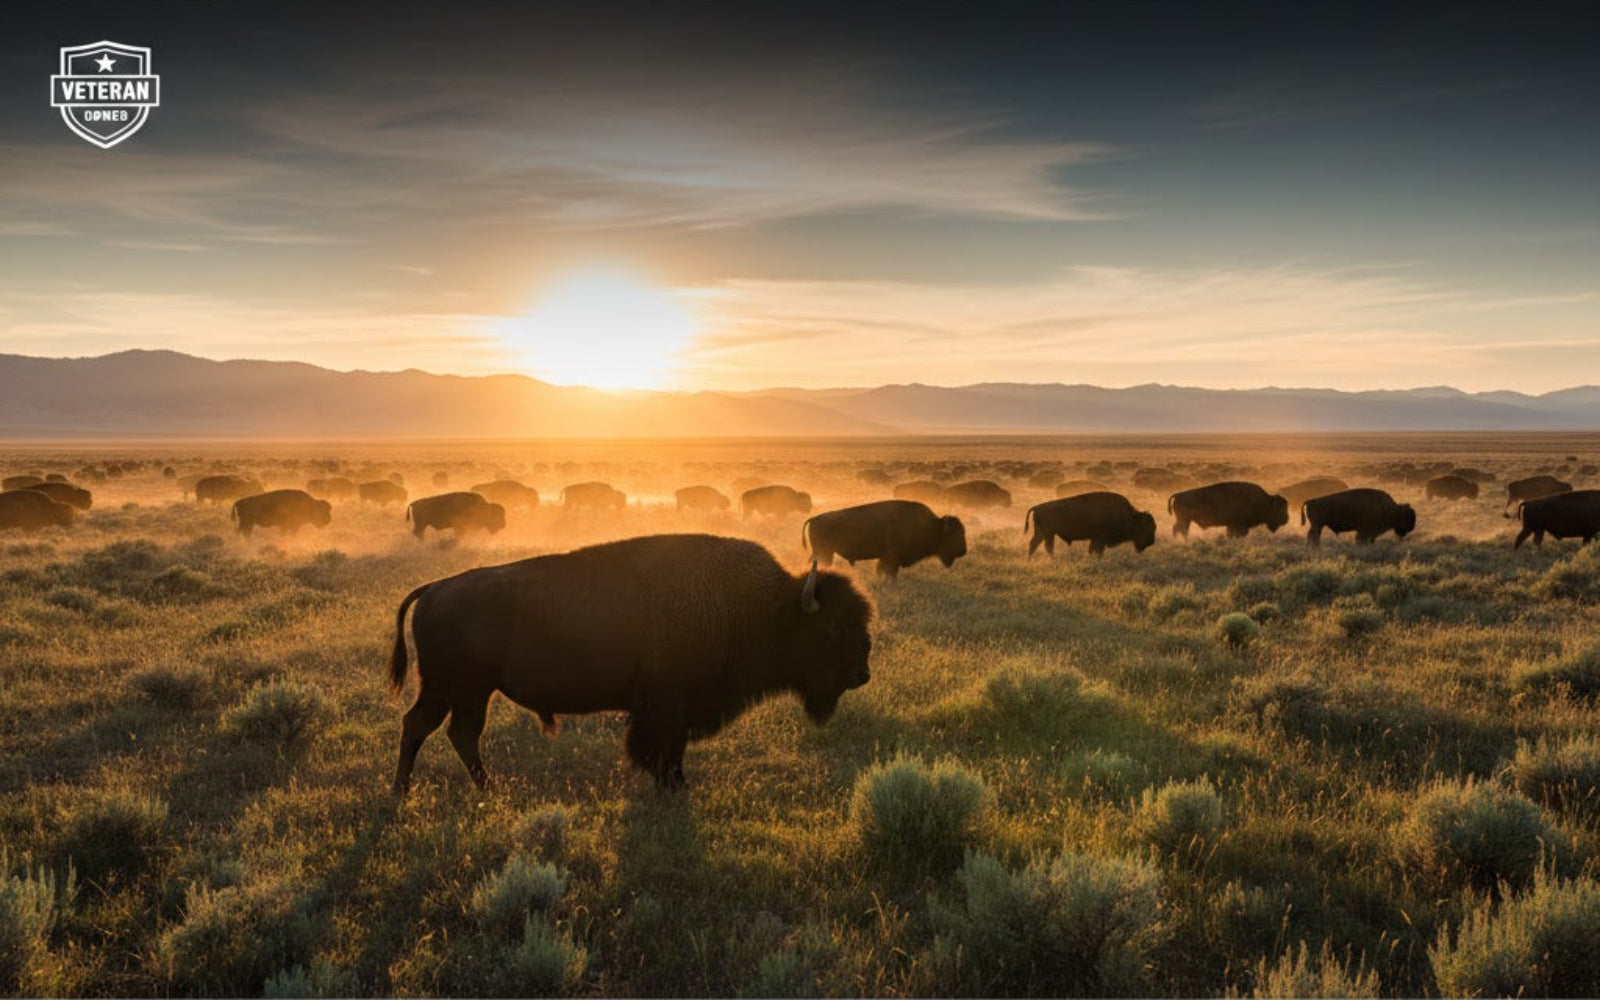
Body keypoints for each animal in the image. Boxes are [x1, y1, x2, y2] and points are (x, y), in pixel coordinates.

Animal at [388, 534, 873, 793]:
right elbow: (660, 747)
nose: (861, 674)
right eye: (832, 628)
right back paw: (416, 791)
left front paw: (677, 783)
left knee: (449, 731)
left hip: (463, 691)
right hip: (455, 688)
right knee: (431, 729)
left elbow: (674, 747)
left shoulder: (677, 709)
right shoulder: (666, 707)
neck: (763, 609)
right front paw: (671, 786)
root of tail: (434, 589)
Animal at [802, 500, 966, 578]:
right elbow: (889, 572)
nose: (963, 551)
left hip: (822, 552)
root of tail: (814, 518)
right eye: (954, 534)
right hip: (824, 552)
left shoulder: (886, 557)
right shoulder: (892, 557)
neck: (933, 526)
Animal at [1025, 492, 1156, 556]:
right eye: (1148, 528)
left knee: (1034, 544)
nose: (1151, 542)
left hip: (1043, 533)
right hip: (1048, 534)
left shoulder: (1095, 539)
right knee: (1047, 547)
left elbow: (1092, 550)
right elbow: (1098, 552)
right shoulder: (1101, 539)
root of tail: (1037, 507)